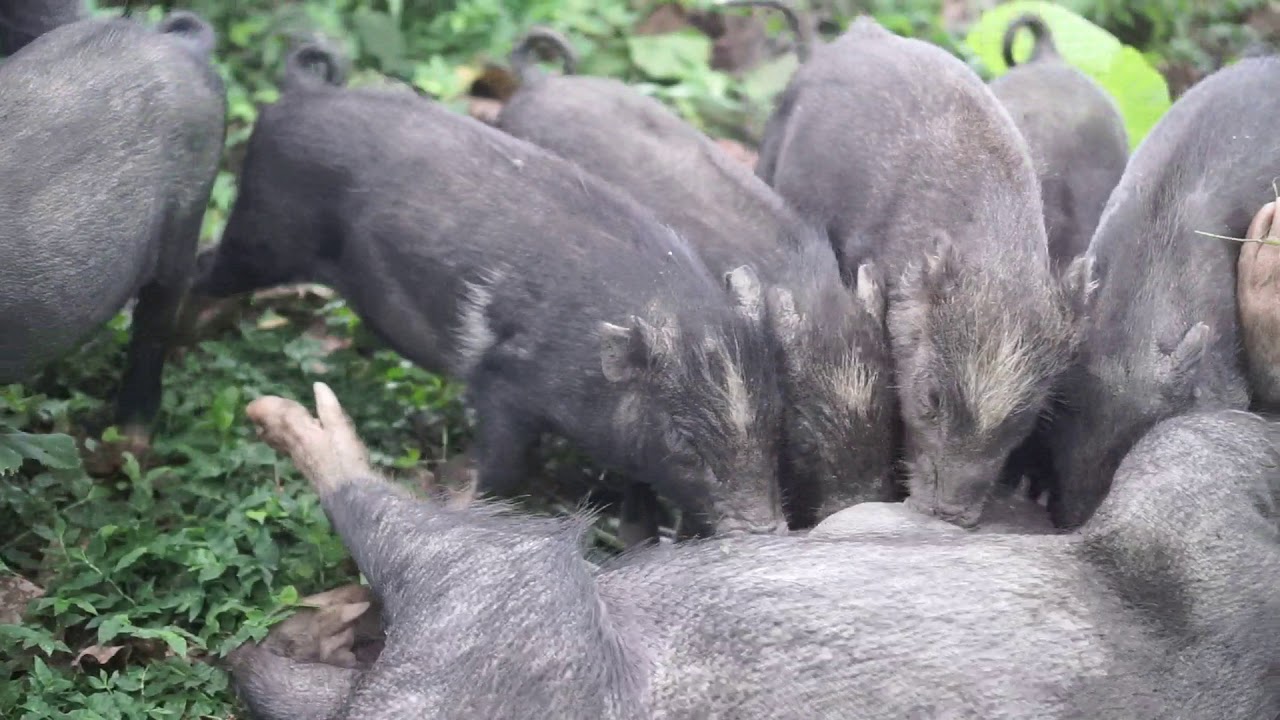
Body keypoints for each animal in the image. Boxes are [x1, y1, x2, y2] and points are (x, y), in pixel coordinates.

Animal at [193, 44, 786, 536]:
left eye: (773, 422)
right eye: (684, 442)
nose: (764, 528)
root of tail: (298, 94)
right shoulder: (503, 380)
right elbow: (505, 463)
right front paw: (465, 504)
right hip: (259, 231)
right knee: (201, 272)